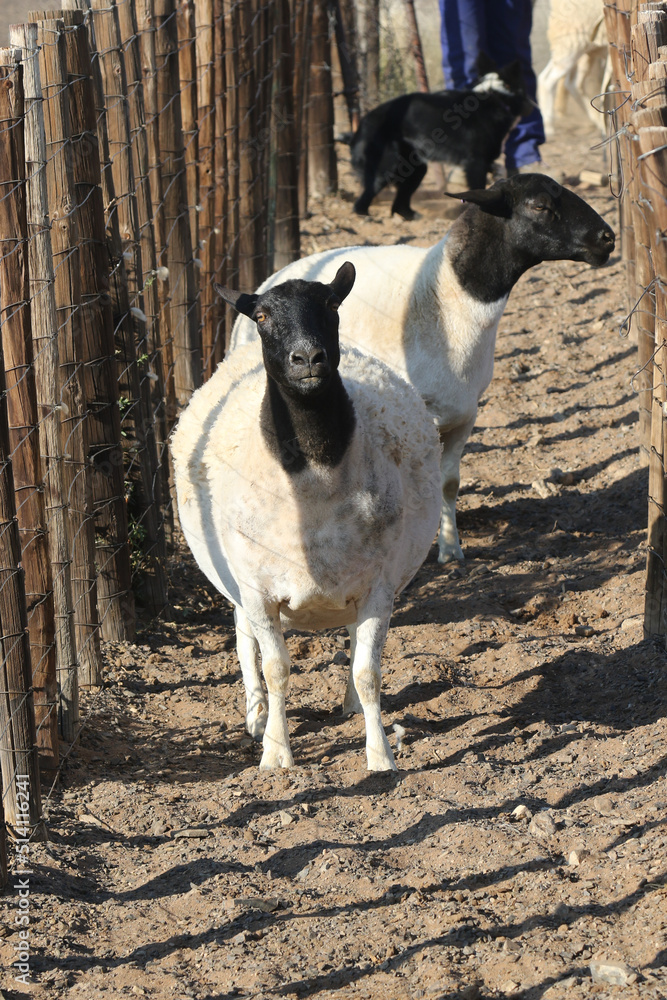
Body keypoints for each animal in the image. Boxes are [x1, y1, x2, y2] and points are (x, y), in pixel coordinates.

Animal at [172, 263, 441, 771]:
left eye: (332, 304)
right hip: (235, 578)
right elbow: (276, 668)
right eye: (261, 316)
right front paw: (276, 752)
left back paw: (347, 705)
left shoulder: (379, 587)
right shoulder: (258, 590)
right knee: (244, 640)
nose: (308, 358)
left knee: (352, 643)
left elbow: (369, 673)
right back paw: (257, 715)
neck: (317, 474)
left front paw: (380, 756)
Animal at [230, 173, 615, 564]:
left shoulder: (465, 412)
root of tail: (272, 281)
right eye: (539, 205)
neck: (450, 298)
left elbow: (448, 483)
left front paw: (450, 549)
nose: (607, 238)